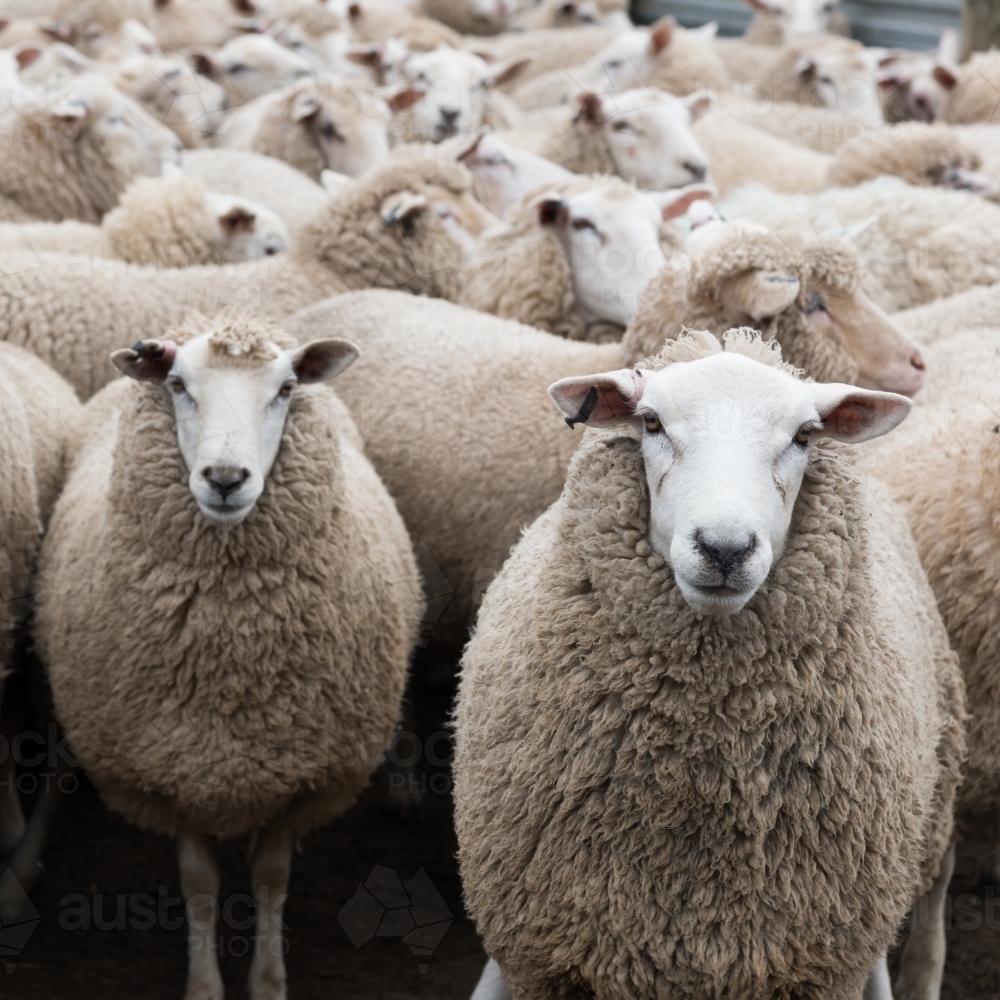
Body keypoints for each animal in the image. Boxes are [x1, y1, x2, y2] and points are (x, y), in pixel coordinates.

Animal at [35, 310, 422, 1000]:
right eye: (178, 385)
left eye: (287, 388)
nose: (224, 479)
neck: (232, 657)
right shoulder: (170, 768)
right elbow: (199, 884)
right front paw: (205, 984)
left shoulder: (302, 773)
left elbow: (270, 878)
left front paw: (267, 981)